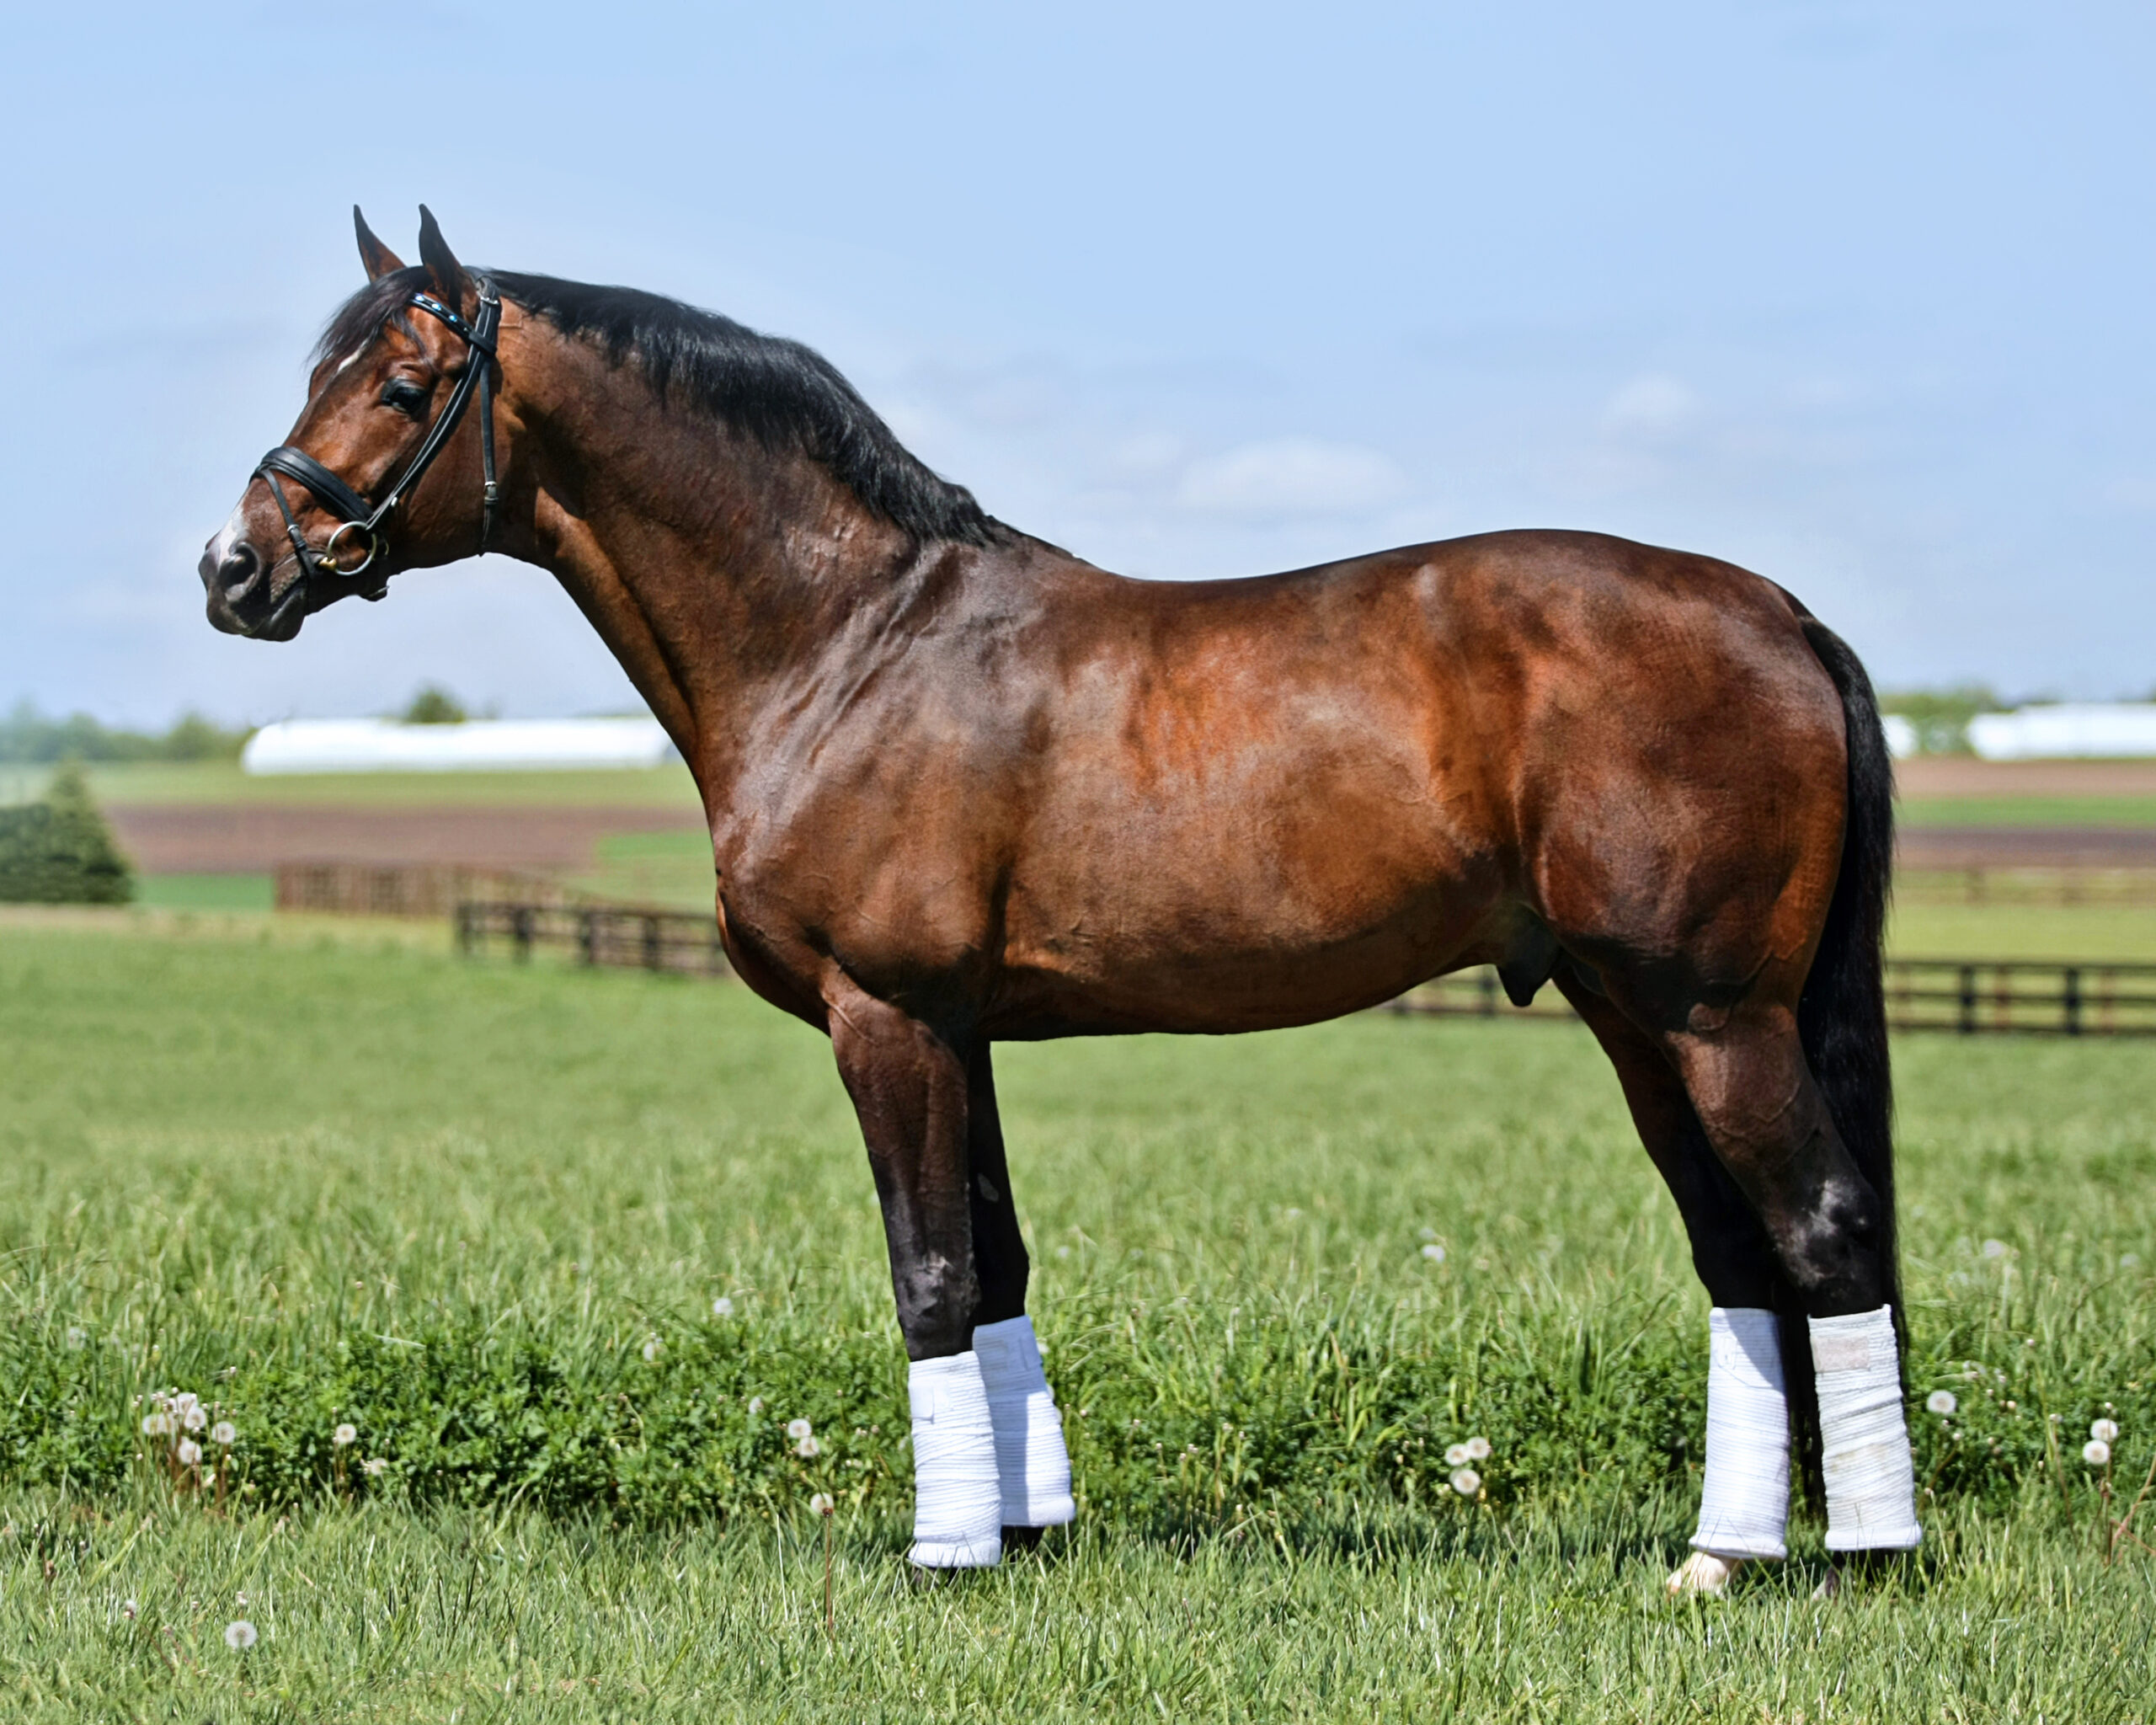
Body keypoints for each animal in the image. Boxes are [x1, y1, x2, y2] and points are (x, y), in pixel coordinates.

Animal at [199, 207, 1921, 1591]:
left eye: (402, 386)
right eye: (320, 374)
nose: (236, 566)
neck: (852, 639)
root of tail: (1779, 612)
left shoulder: (886, 1017)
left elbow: (929, 1273)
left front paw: (945, 1553)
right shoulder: (958, 1028)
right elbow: (999, 1264)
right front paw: (1029, 1531)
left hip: (1717, 1016)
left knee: (1824, 1230)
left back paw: (1864, 1557)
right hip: (1636, 1017)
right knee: (1737, 1250)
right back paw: (1722, 1555)